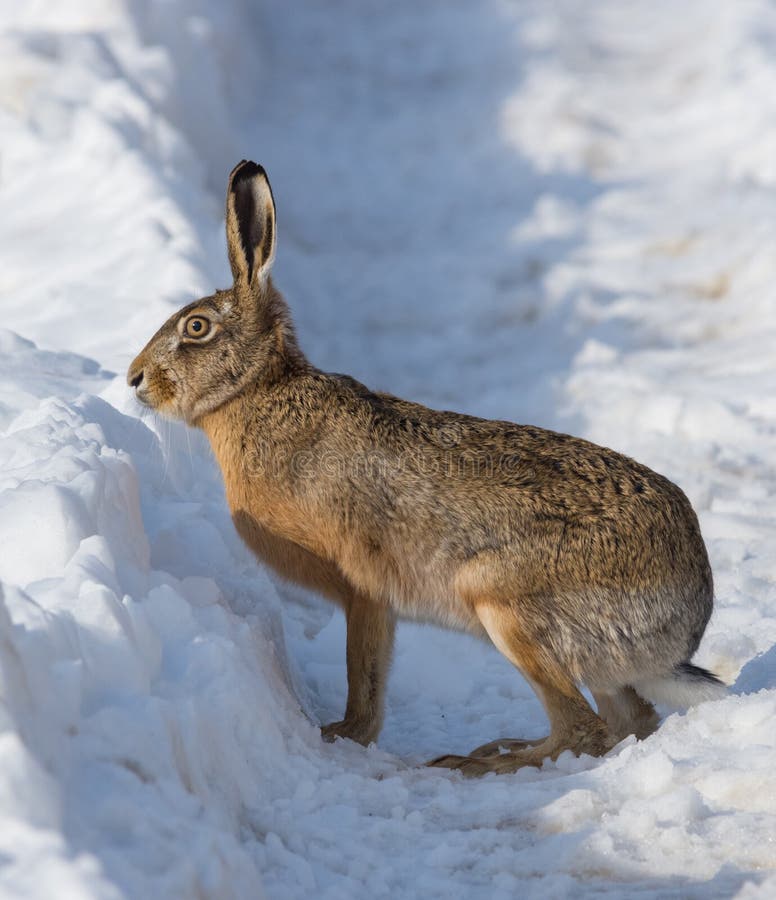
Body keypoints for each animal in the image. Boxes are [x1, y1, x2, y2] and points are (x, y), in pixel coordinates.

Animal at [127, 160, 724, 775]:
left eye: (197, 328)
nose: (134, 379)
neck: (259, 395)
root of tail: (683, 628)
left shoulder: (363, 588)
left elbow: (362, 677)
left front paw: (340, 736)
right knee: (630, 722)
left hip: (505, 603)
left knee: (585, 729)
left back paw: (482, 762)